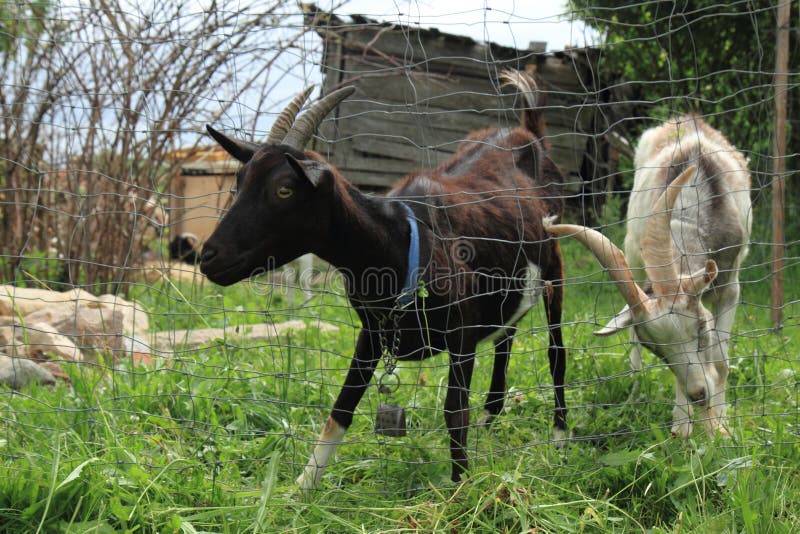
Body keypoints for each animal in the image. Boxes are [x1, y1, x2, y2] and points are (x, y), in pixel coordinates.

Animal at [200, 70, 566, 489]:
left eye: (284, 189)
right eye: (239, 180)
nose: (208, 257)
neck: (400, 243)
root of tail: (528, 131)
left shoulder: (461, 331)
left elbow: (454, 412)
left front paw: (460, 487)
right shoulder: (373, 332)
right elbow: (340, 409)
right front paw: (300, 488)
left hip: (555, 262)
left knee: (556, 350)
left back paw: (559, 438)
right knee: (507, 335)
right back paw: (491, 418)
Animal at [548, 114, 751, 437]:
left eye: (701, 329)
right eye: (659, 352)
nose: (699, 395)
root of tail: (685, 119)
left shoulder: (730, 285)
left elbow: (720, 361)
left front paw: (720, 427)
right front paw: (683, 428)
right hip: (633, 251)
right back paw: (635, 379)